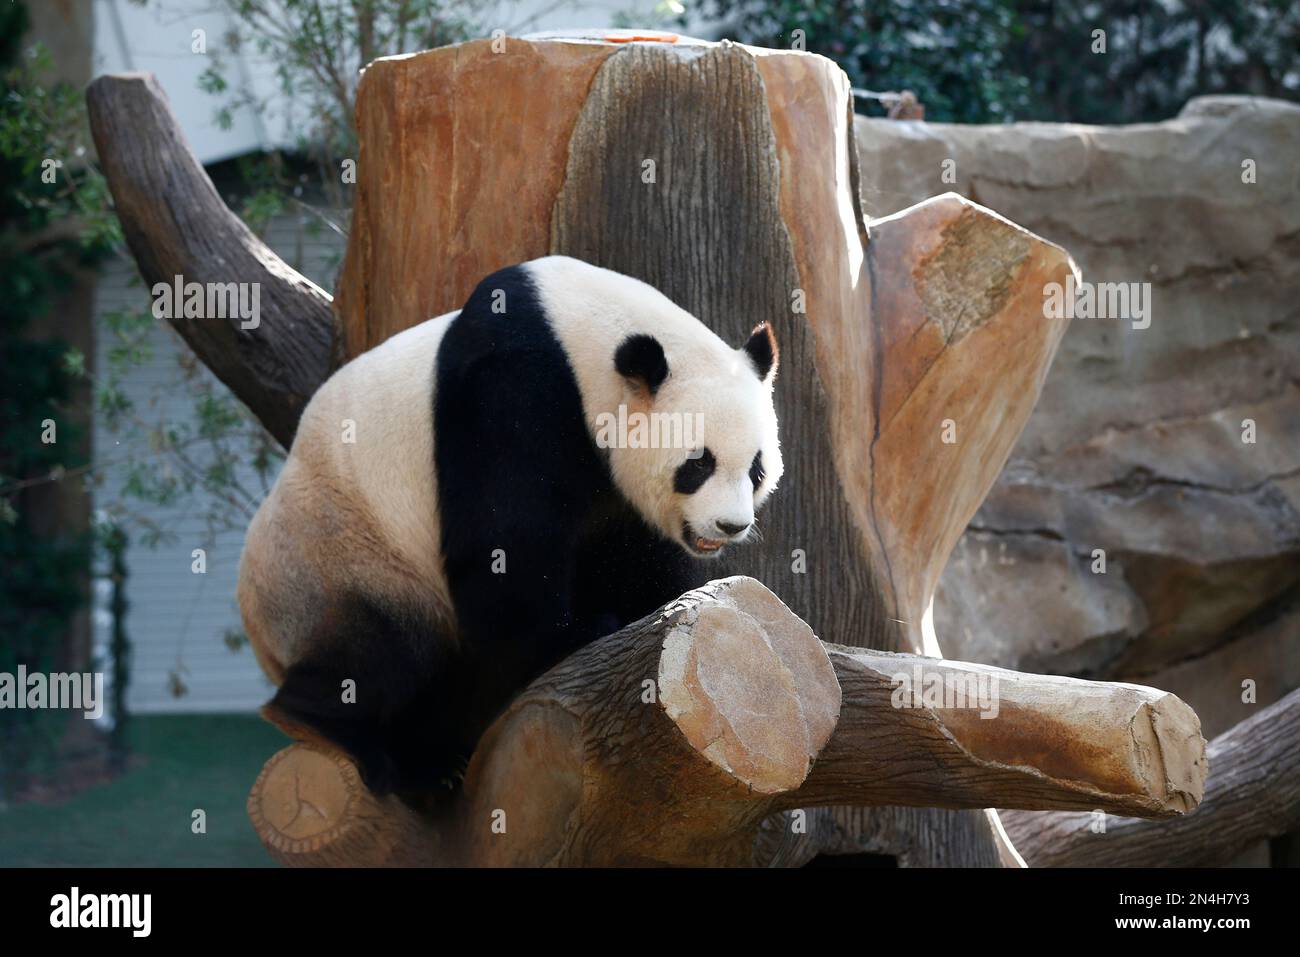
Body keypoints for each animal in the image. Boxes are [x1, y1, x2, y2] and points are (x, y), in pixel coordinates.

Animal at [237, 255, 783, 795]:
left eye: (756, 469)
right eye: (699, 463)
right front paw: (573, 635)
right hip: (344, 552)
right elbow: (503, 551)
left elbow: (630, 550)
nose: (730, 524)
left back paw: (432, 763)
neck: (583, 339)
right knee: (382, 650)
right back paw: (338, 731)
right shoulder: (512, 390)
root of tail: (258, 627)